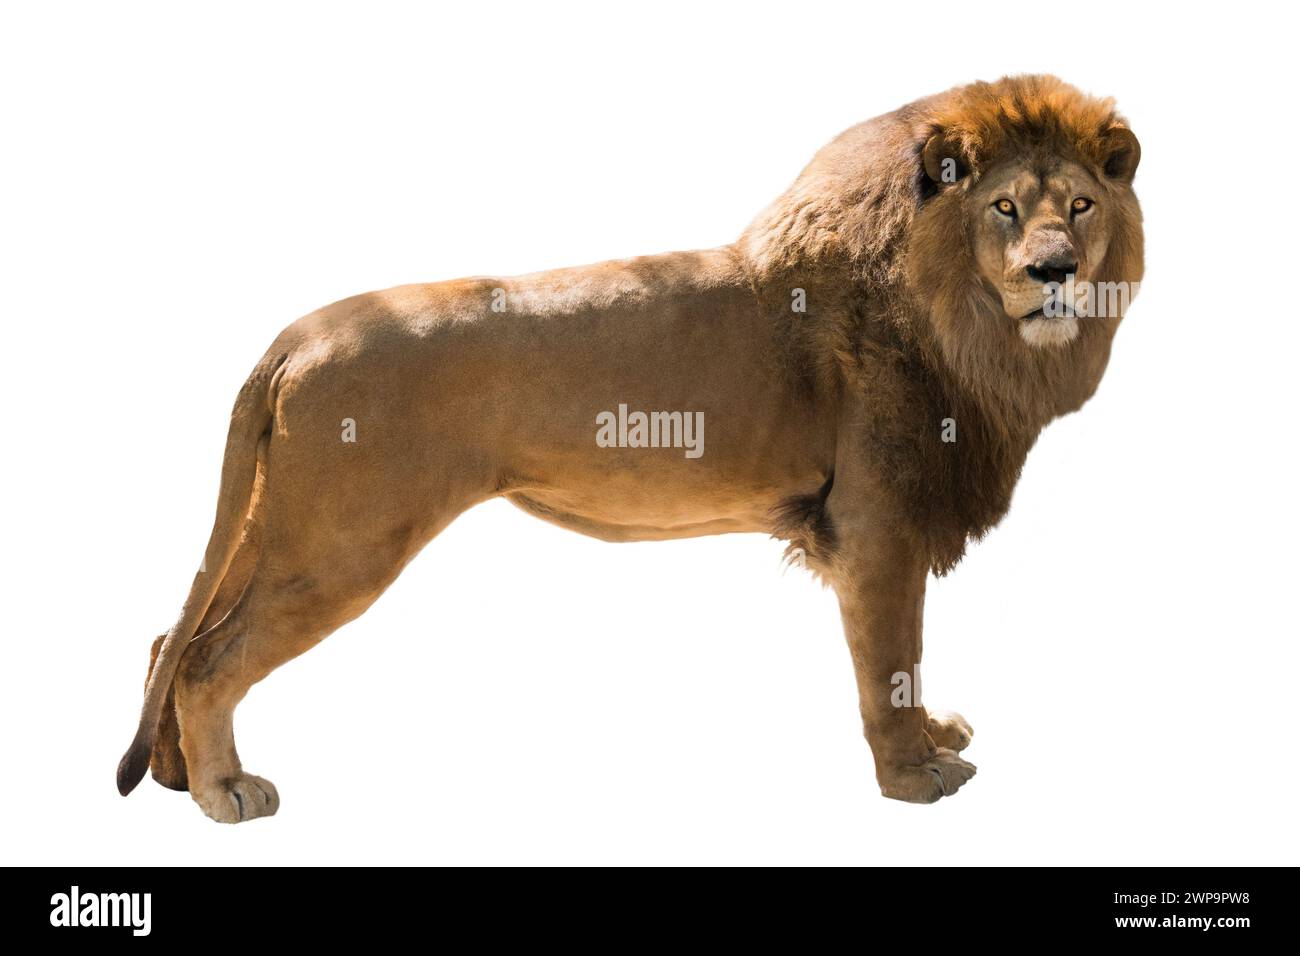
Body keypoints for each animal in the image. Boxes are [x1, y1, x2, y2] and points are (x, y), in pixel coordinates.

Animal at [117, 74, 1142, 822]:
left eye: (1081, 206)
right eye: (1004, 207)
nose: (1054, 272)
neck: (973, 330)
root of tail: (295, 336)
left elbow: (909, 658)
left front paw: (934, 737)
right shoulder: (873, 527)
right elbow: (889, 663)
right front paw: (913, 778)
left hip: (277, 525)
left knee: (175, 637)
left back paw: (175, 779)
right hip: (340, 546)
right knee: (207, 659)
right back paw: (225, 793)